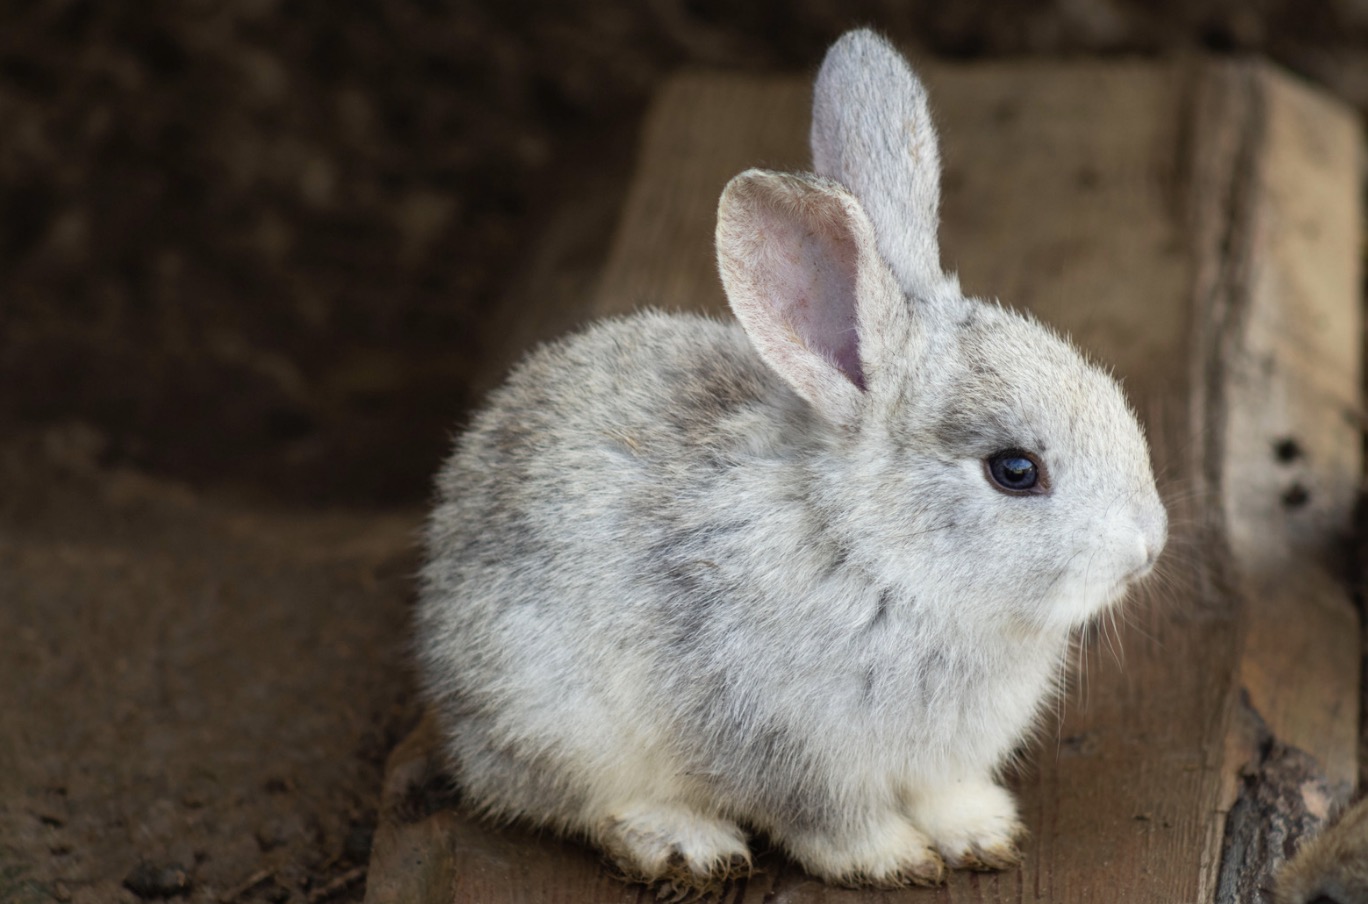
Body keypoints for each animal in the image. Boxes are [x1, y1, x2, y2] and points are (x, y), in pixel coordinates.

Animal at [416, 27, 1167, 892]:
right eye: (1014, 471)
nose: (1149, 546)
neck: (877, 557)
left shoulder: (939, 762)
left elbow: (946, 794)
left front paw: (982, 834)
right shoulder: (788, 748)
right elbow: (831, 823)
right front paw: (893, 860)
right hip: (556, 716)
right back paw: (685, 843)